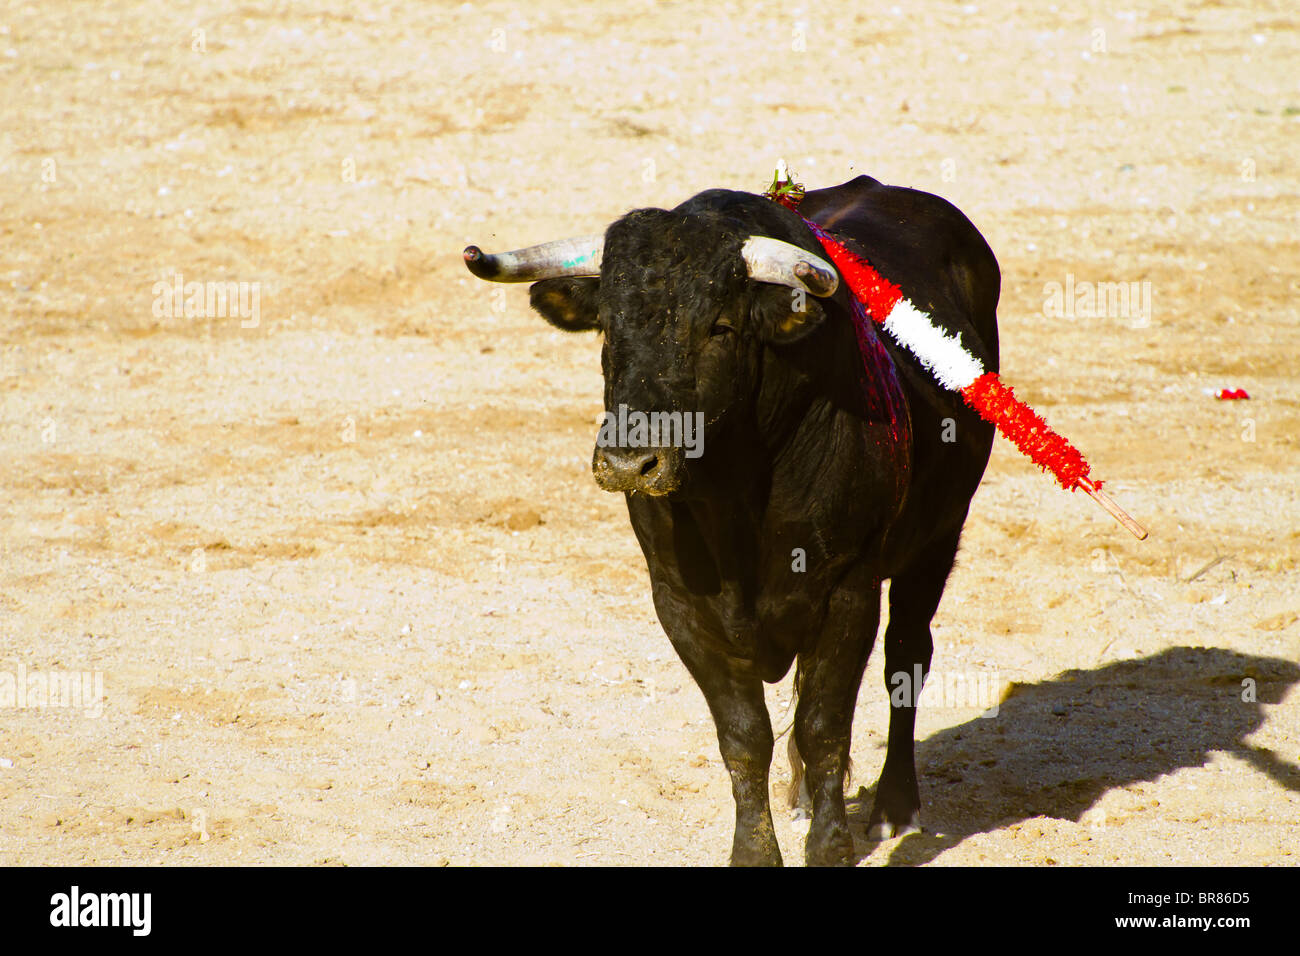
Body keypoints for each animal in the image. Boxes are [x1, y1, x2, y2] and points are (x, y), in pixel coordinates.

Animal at [463, 175, 1000, 865]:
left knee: (905, 659)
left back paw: (893, 807)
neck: (735, 494)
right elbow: (745, 736)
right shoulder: (678, 600)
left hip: (938, 537)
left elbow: (824, 726)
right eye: (607, 325)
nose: (629, 462)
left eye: (719, 326)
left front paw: (831, 847)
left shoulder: (847, 590)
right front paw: (754, 850)